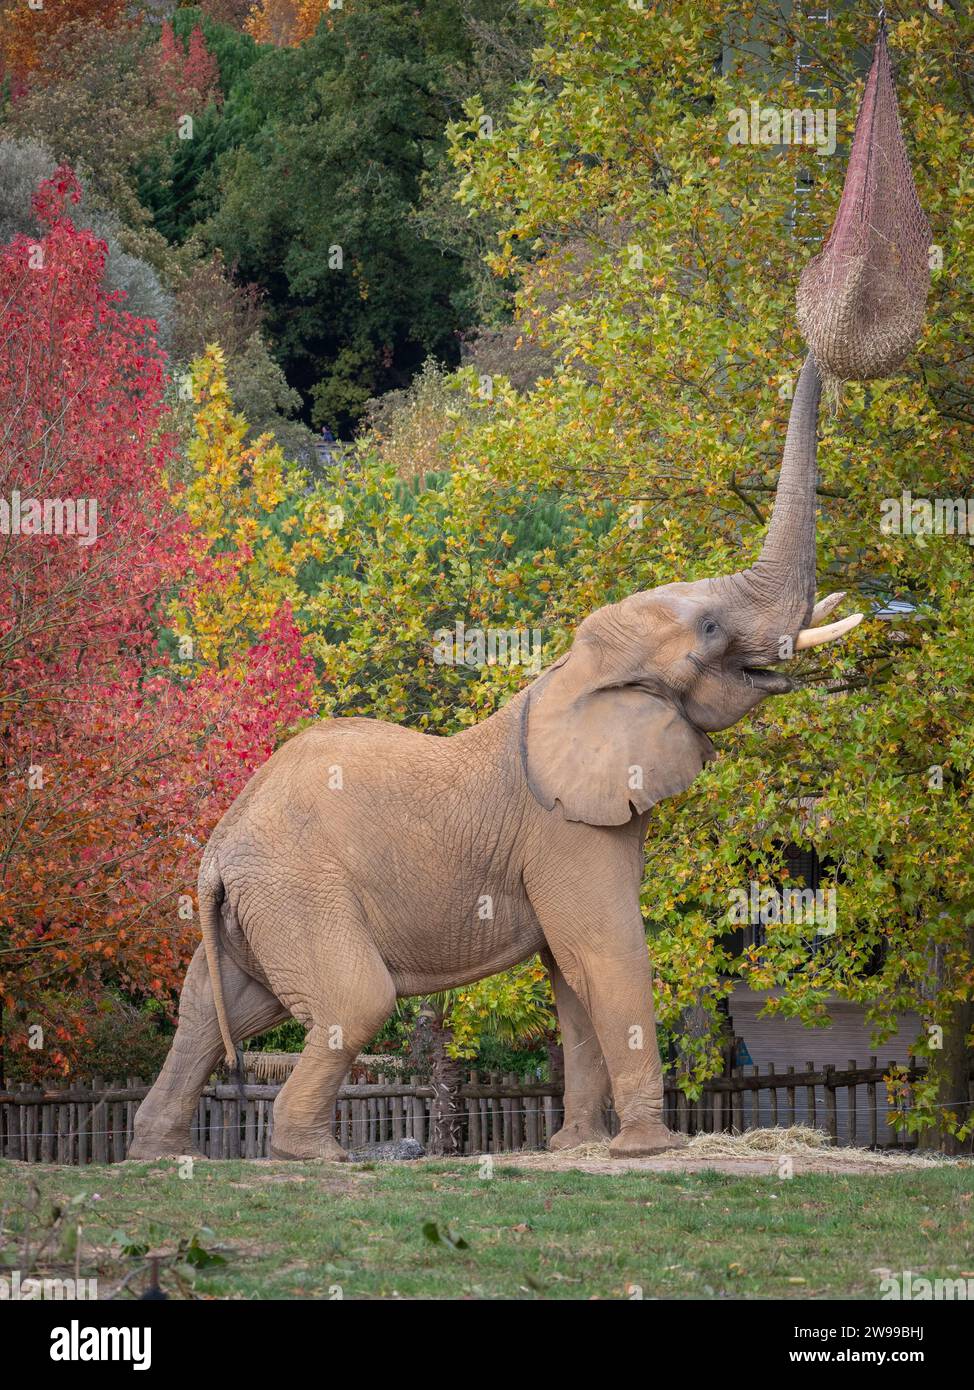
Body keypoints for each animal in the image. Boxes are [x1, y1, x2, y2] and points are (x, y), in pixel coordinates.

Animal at [130, 353, 862, 1162]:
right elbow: (607, 954)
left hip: (257, 908)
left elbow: (570, 979)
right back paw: (316, 1156)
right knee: (353, 1000)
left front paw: (573, 1148)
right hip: (297, 890)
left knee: (210, 1006)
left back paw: (160, 1155)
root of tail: (217, 850)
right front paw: (648, 1151)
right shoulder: (567, 831)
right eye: (707, 628)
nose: (825, 350)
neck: (570, 676)